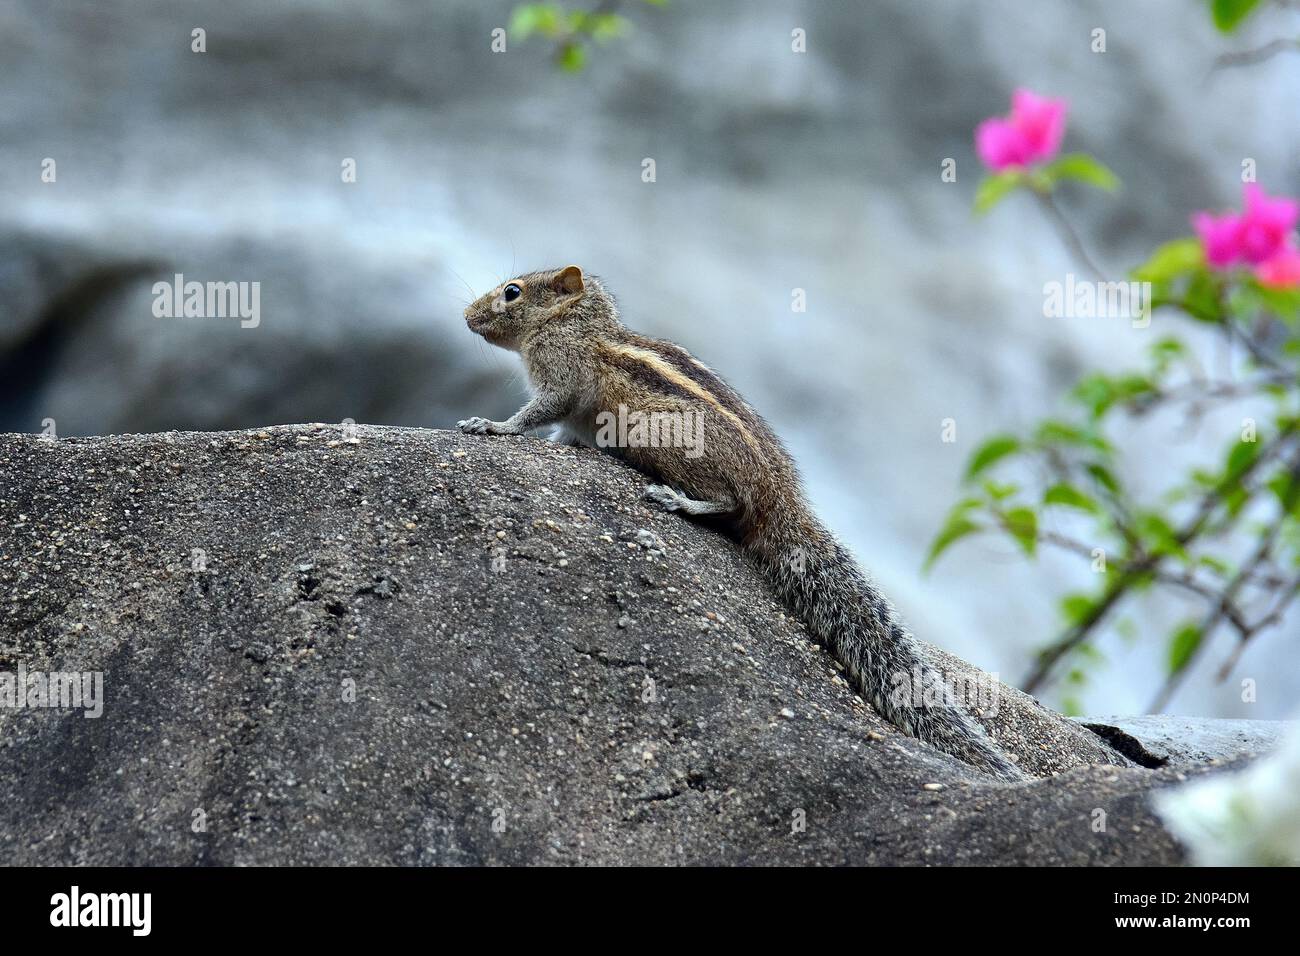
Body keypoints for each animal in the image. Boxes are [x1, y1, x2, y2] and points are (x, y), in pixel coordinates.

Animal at [457, 264, 1024, 780]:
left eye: (512, 291)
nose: (465, 315)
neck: (578, 323)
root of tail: (781, 496)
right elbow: (563, 431)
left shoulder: (563, 377)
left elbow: (536, 412)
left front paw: (492, 425)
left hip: (685, 452)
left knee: (731, 505)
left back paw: (680, 502)